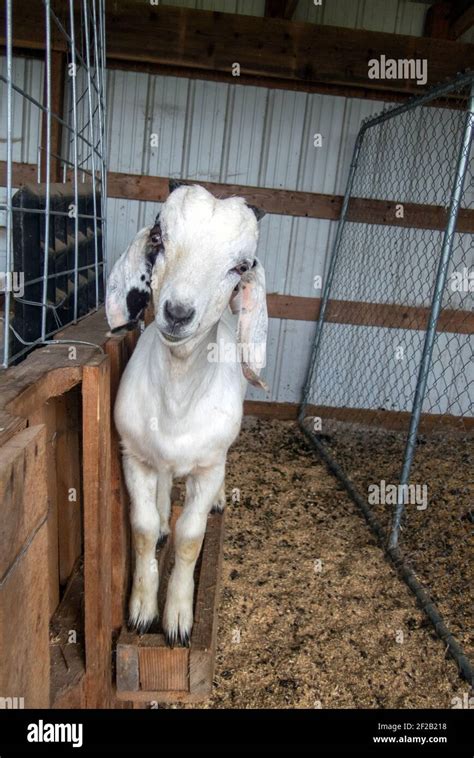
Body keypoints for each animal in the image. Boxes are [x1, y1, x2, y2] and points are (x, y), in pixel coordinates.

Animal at [105, 183, 268, 645]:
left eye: (240, 266)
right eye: (159, 239)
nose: (177, 313)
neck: (177, 400)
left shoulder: (208, 465)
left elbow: (192, 539)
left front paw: (178, 619)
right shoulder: (133, 455)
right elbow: (142, 528)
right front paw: (142, 612)